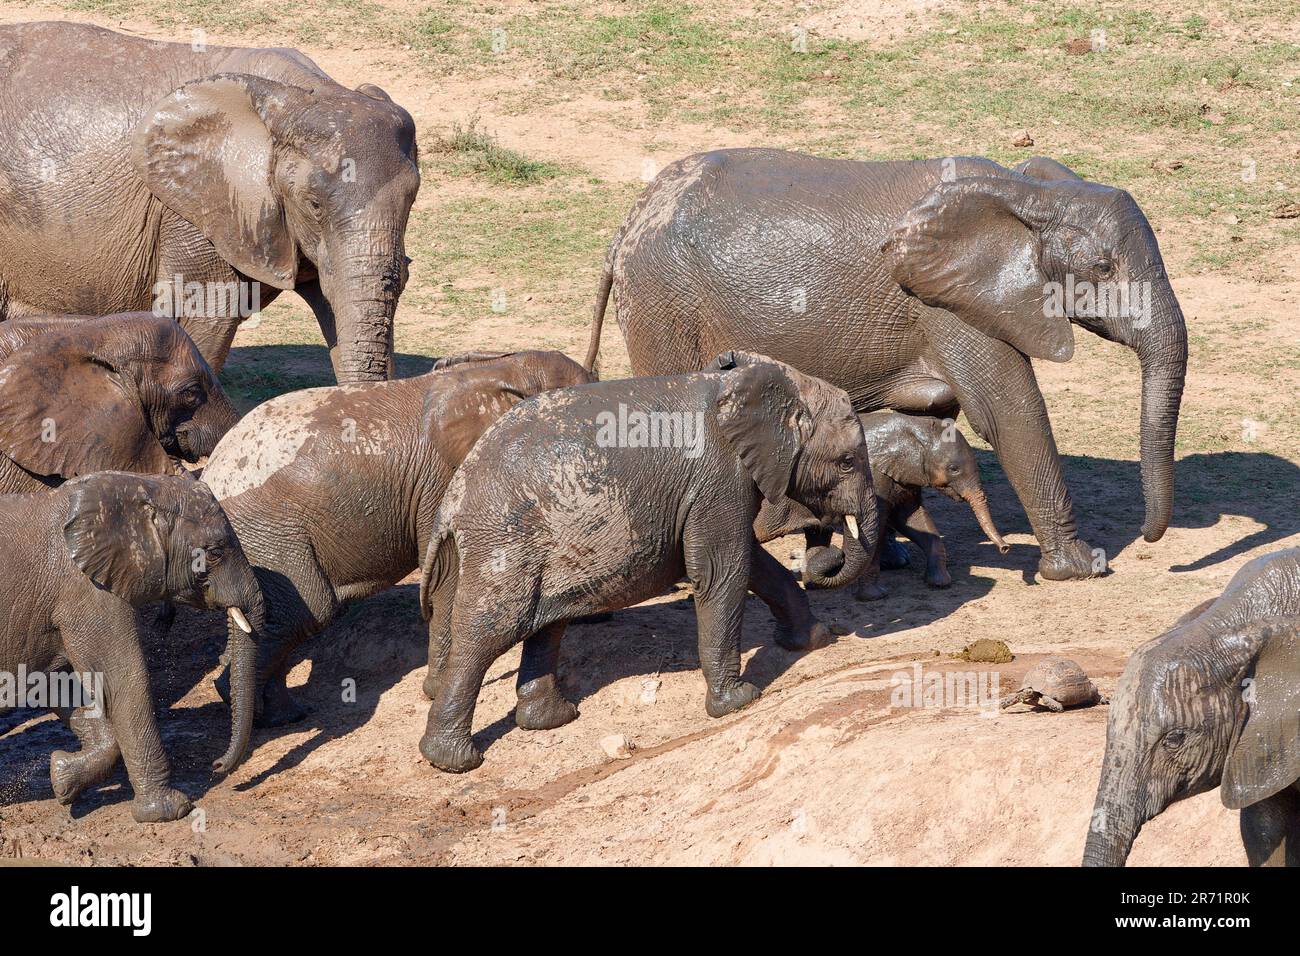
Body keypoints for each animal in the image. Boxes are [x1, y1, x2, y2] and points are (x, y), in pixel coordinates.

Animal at [0, 473, 265, 822]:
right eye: (215, 552)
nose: (217, 765)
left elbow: (59, 684)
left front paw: (62, 778)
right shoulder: (88, 592)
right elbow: (124, 680)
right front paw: (170, 811)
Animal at [197, 350, 593, 767]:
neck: (502, 369)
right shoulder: (444, 477)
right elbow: (448, 573)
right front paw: (435, 689)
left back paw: (277, 714)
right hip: (270, 535)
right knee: (303, 614)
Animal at [417, 352, 879, 773]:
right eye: (847, 462)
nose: (828, 552)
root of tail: (454, 497)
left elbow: (753, 562)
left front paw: (815, 639)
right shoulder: (718, 477)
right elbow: (722, 571)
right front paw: (739, 701)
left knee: (546, 623)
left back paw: (552, 720)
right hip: (506, 541)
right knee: (488, 631)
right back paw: (453, 761)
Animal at [755, 411, 1007, 599]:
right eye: (954, 469)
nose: (1005, 549)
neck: (913, 426)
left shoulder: (905, 478)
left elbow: (914, 520)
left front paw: (940, 583)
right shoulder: (873, 479)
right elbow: (878, 530)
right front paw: (874, 596)